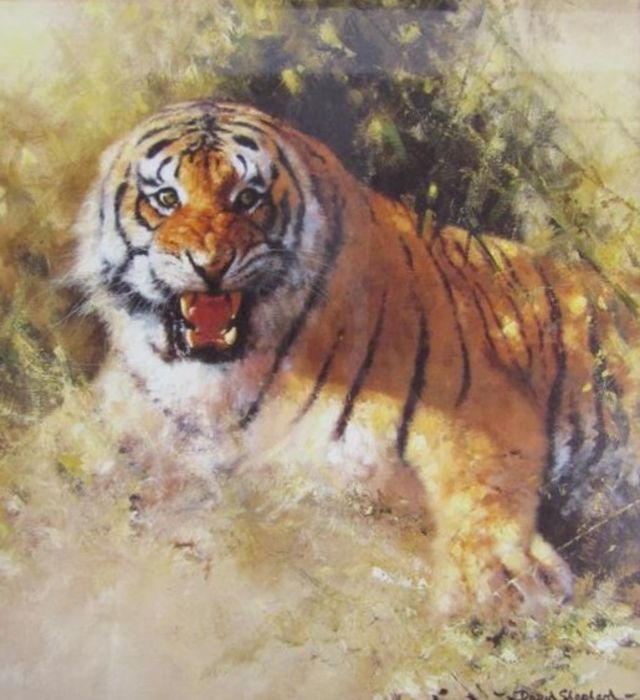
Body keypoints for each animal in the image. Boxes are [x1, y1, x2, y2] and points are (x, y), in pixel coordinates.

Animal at [72, 99, 639, 616]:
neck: (219, 386)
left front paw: (500, 580)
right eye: (167, 199)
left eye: (249, 198)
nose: (210, 265)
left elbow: (483, 480)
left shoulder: (479, 400)